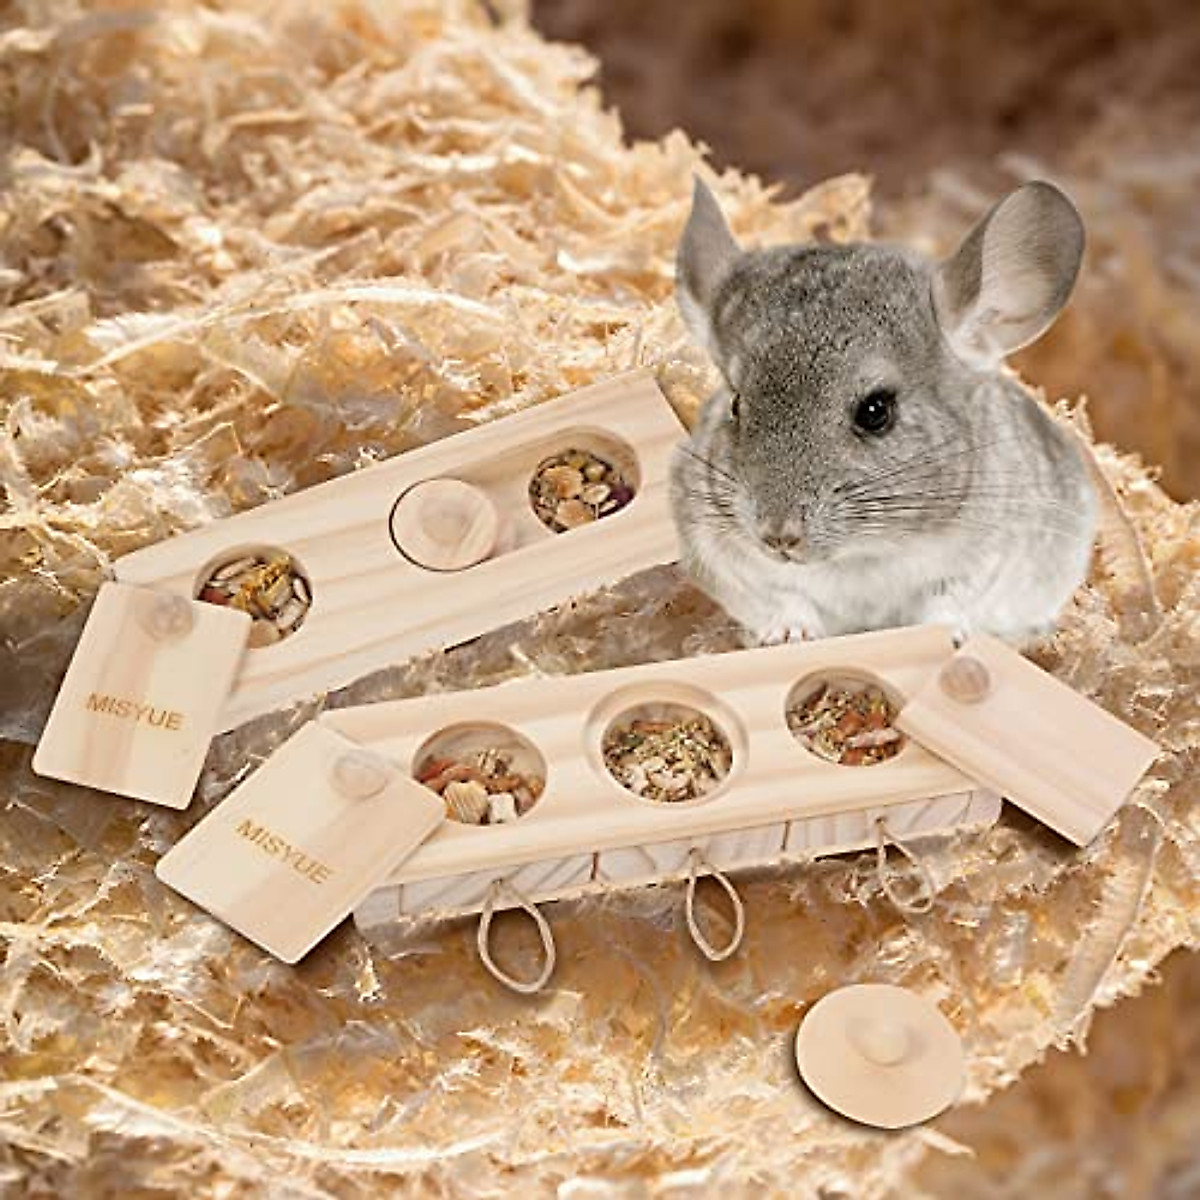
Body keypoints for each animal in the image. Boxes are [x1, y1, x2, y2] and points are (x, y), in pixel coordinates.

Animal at [670, 176, 1098, 647]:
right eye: (736, 403)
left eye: (876, 410)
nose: (778, 537)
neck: (862, 557)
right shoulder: (720, 553)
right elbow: (782, 597)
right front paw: (787, 636)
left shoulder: (992, 555)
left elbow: (947, 599)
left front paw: (947, 634)